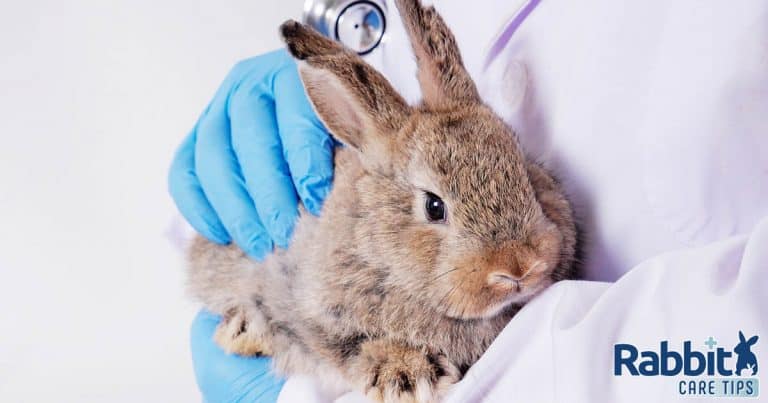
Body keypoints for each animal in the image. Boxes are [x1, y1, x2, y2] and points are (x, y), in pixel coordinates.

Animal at [186, 0, 578, 401]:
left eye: (524, 170)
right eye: (434, 206)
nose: (520, 266)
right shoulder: (310, 306)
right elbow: (345, 345)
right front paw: (405, 375)